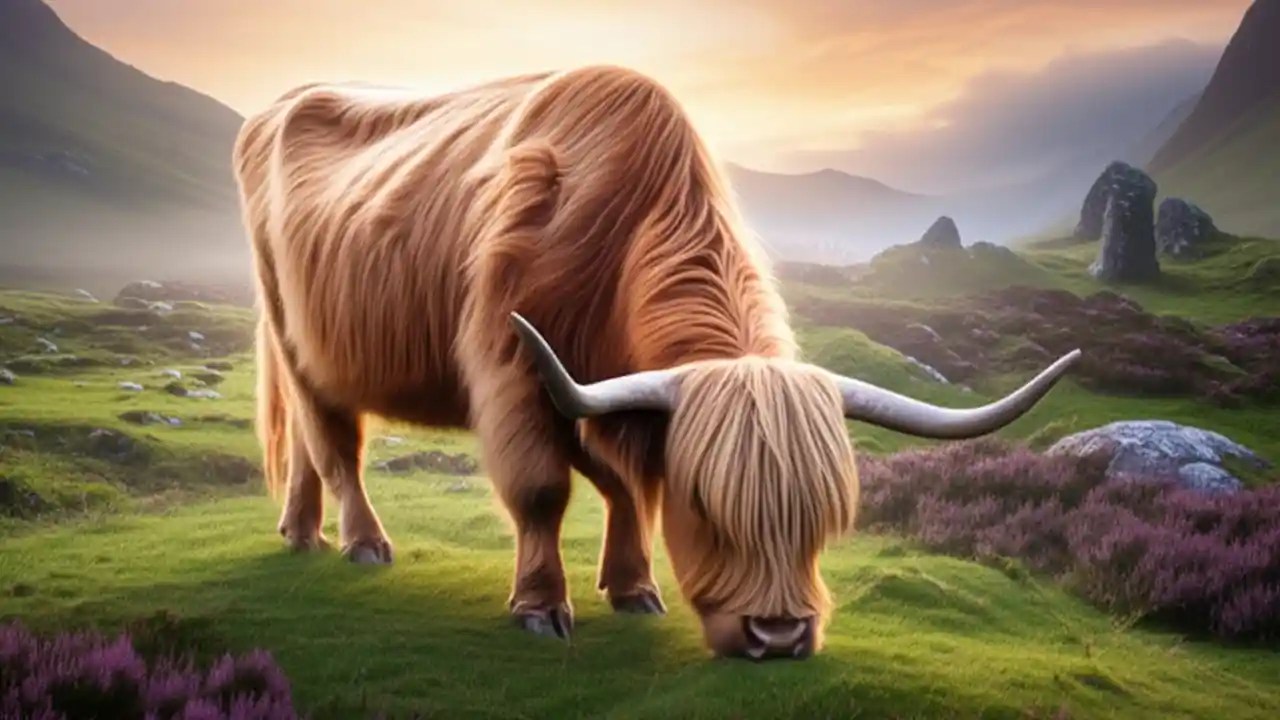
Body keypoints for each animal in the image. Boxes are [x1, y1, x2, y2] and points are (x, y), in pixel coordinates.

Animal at [231, 65, 1080, 661]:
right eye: (705, 506)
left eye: (828, 515)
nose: (779, 638)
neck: (619, 238)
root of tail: (278, 105)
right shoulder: (516, 374)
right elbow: (543, 490)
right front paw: (541, 607)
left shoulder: (603, 392)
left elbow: (624, 487)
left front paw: (635, 588)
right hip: (301, 341)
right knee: (335, 444)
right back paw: (364, 544)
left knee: (307, 446)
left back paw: (301, 534)